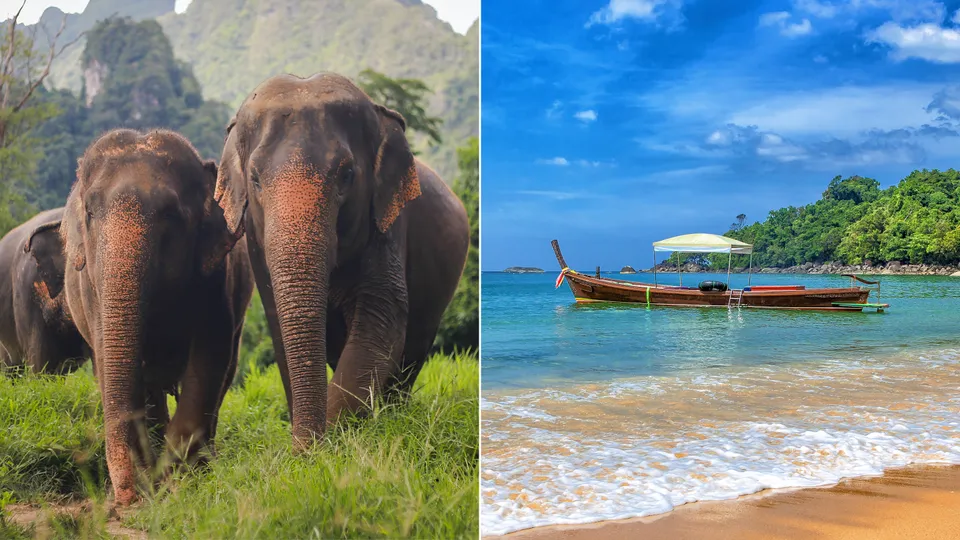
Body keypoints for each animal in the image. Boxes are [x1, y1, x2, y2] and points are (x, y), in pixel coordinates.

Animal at [46, 128, 254, 505]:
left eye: (170, 214)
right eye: (90, 212)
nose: (125, 499)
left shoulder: (216, 279)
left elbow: (208, 362)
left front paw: (178, 478)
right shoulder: (91, 291)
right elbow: (111, 367)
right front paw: (153, 478)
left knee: (224, 373)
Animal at [214, 72, 469, 449]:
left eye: (347, 174)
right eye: (255, 178)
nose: (305, 451)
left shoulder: (388, 223)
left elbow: (382, 320)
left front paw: (334, 438)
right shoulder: (255, 245)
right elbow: (279, 329)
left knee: (412, 350)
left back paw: (391, 414)